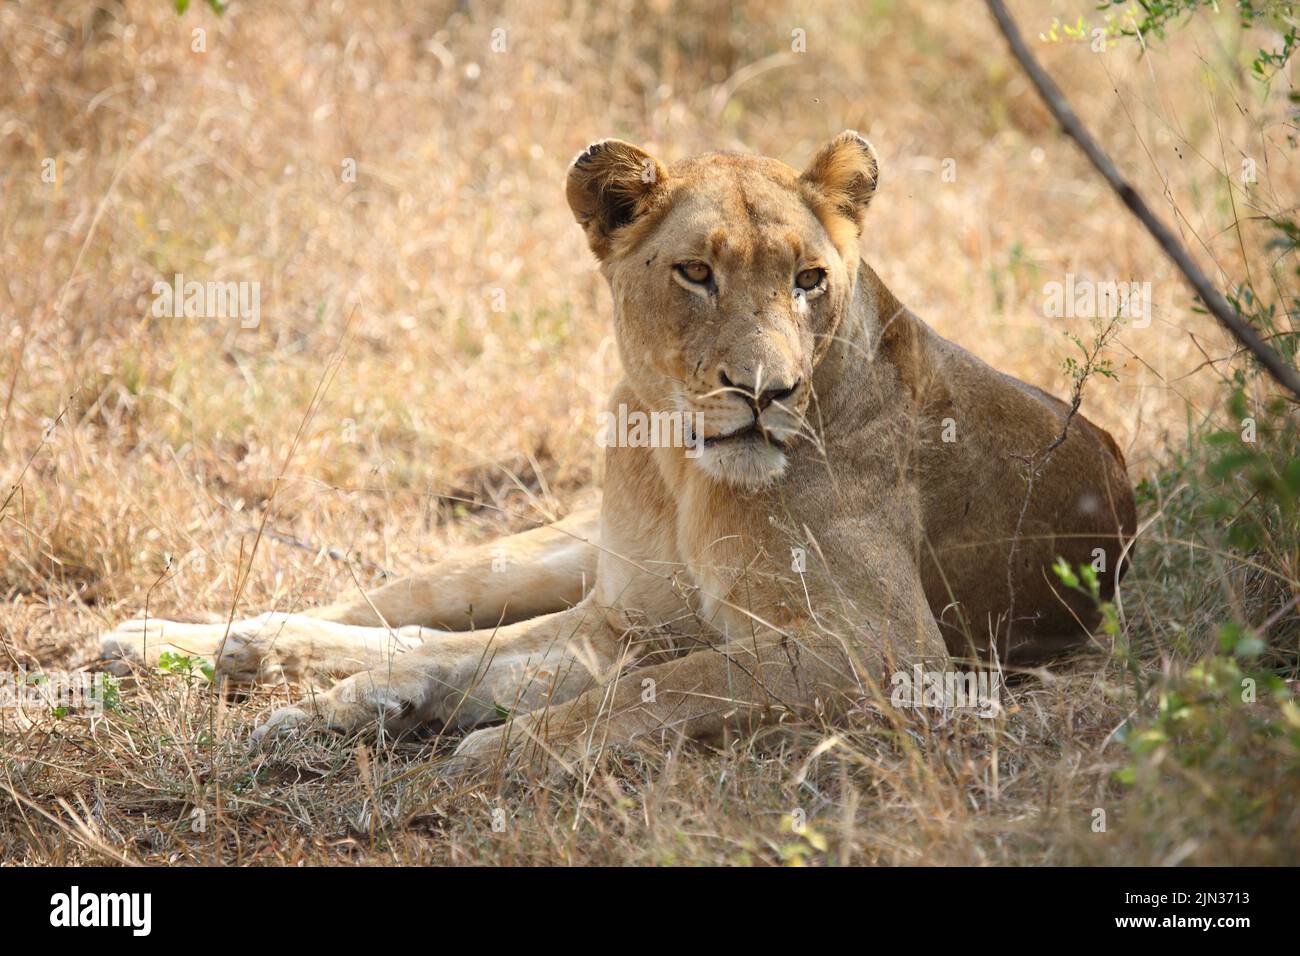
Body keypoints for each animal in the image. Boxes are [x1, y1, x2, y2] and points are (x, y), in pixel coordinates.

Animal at [100, 132, 1136, 778]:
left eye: (810, 279)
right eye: (696, 273)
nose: (766, 393)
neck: (679, 470)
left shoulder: (885, 648)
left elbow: (664, 685)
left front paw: (499, 750)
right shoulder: (630, 618)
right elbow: (612, 673)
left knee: (431, 639)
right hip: (546, 552)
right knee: (402, 611)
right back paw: (188, 647)